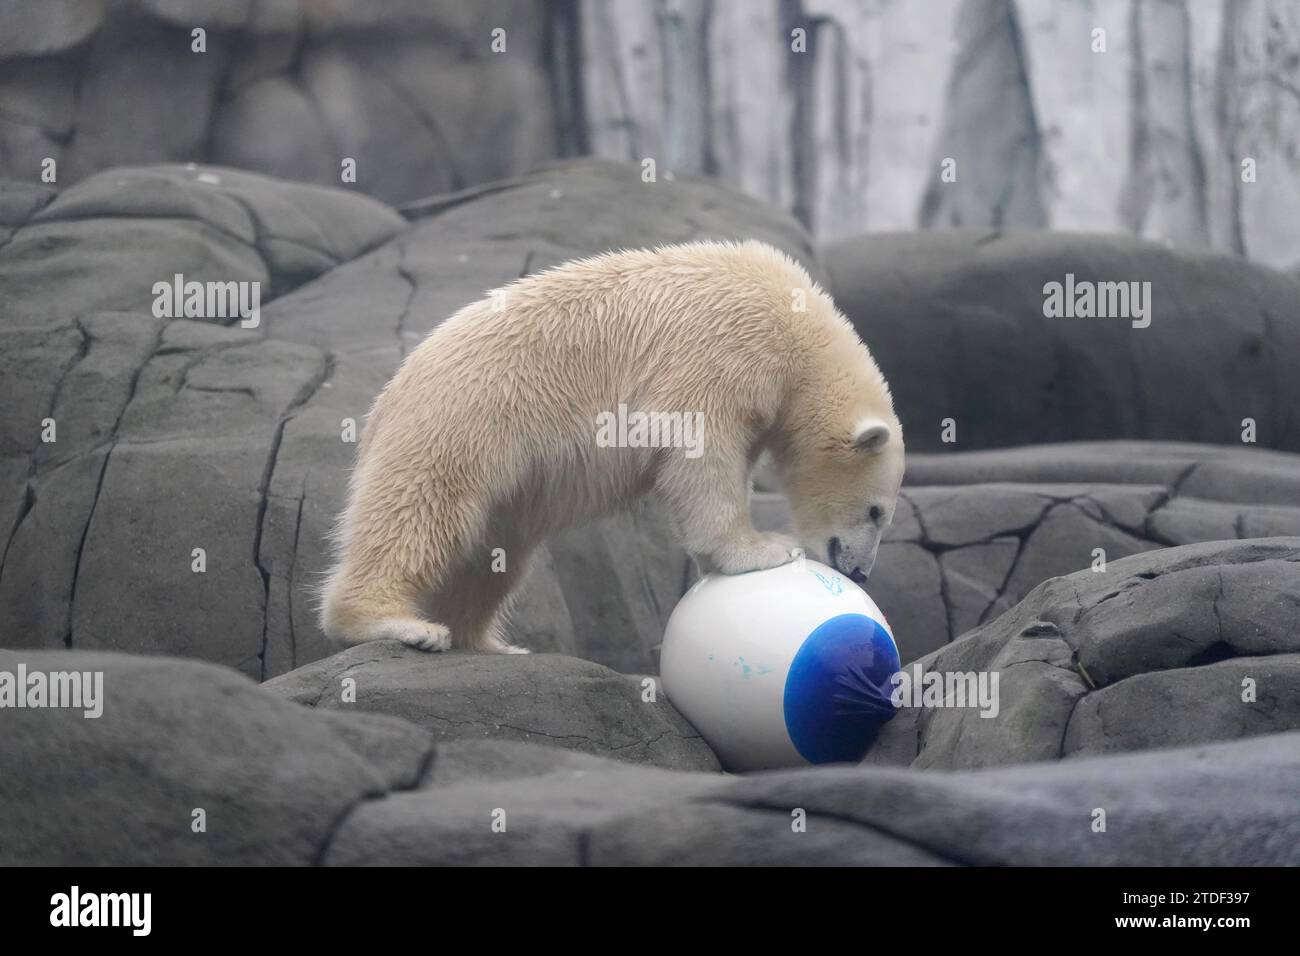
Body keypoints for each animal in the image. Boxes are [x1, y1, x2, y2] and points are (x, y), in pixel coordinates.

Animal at [319, 239, 905, 654]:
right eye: (877, 512)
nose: (861, 572)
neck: (799, 328)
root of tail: (390, 395)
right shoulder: (725, 351)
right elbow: (698, 452)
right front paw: (764, 549)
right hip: (467, 419)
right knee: (420, 510)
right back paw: (397, 624)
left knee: (493, 551)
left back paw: (487, 642)